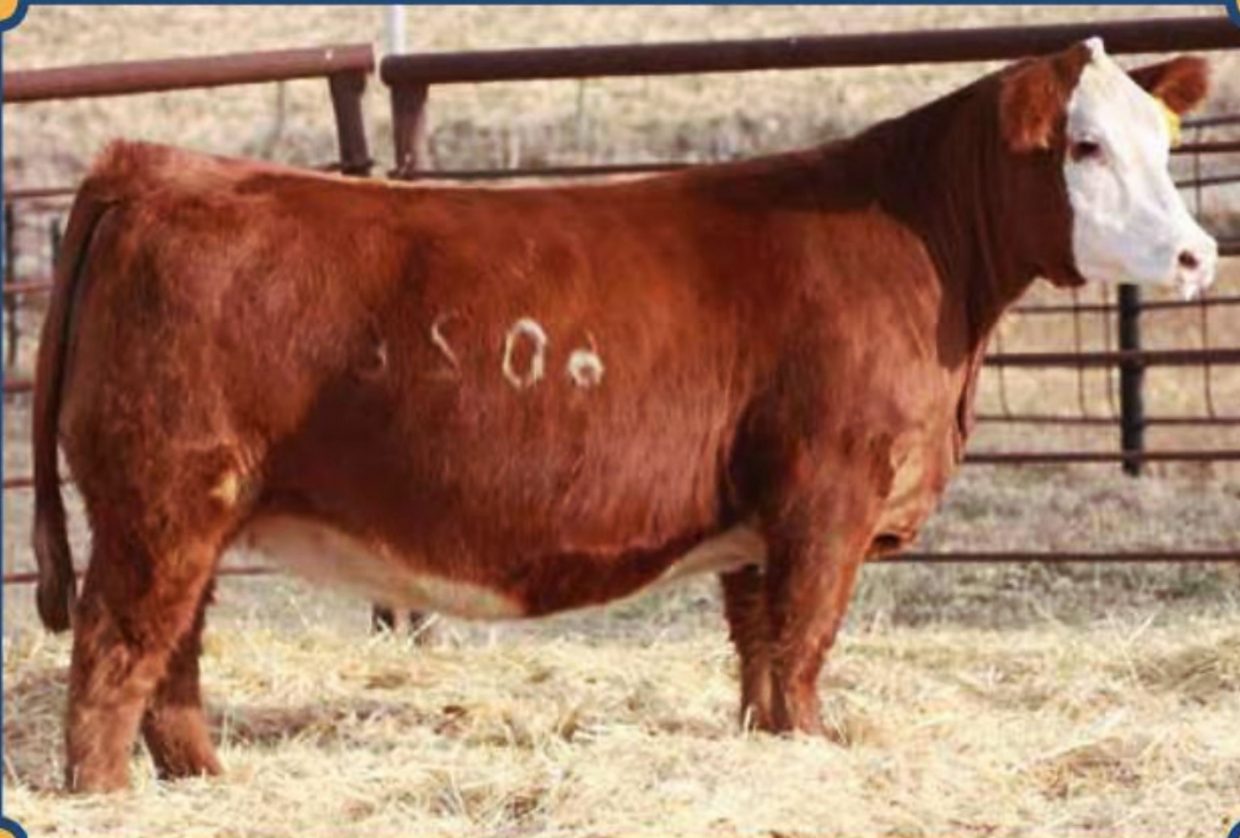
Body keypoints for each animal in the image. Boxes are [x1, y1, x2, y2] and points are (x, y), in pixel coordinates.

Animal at [32, 39, 1215, 792]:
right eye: (1085, 147)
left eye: (1163, 143)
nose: (1199, 254)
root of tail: (154, 166)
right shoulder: (826, 493)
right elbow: (803, 646)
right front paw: (811, 749)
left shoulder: (760, 517)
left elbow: (760, 653)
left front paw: (770, 751)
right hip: (162, 500)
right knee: (115, 654)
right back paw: (106, 798)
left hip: (194, 512)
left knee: (173, 659)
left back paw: (208, 784)